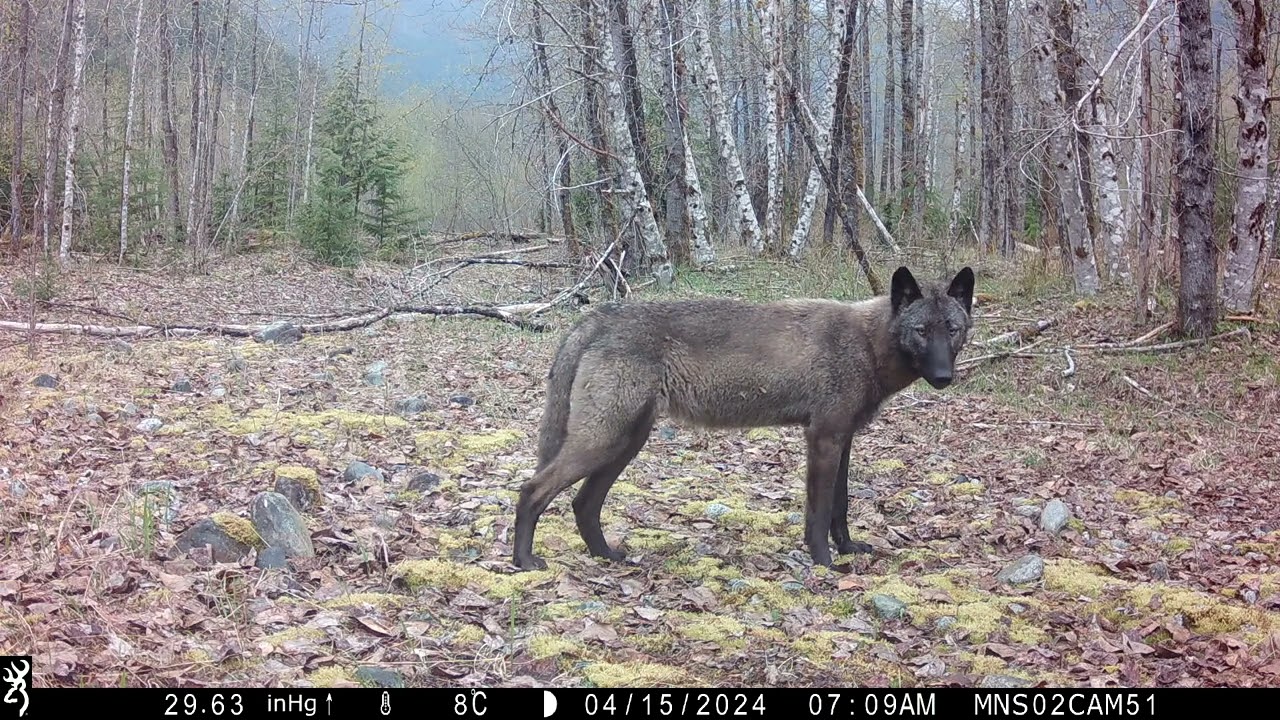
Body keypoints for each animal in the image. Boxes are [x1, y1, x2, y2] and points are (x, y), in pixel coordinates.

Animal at [511, 266, 975, 571]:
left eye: (951, 329)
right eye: (921, 331)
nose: (943, 377)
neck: (866, 344)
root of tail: (594, 318)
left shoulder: (843, 440)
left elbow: (840, 507)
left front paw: (847, 549)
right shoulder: (822, 439)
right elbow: (818, 512)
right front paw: (824, 564)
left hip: (624, 443)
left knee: (583, 503)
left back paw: (606, 556)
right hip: (604, 441)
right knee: (531, 490)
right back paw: (524, 562)